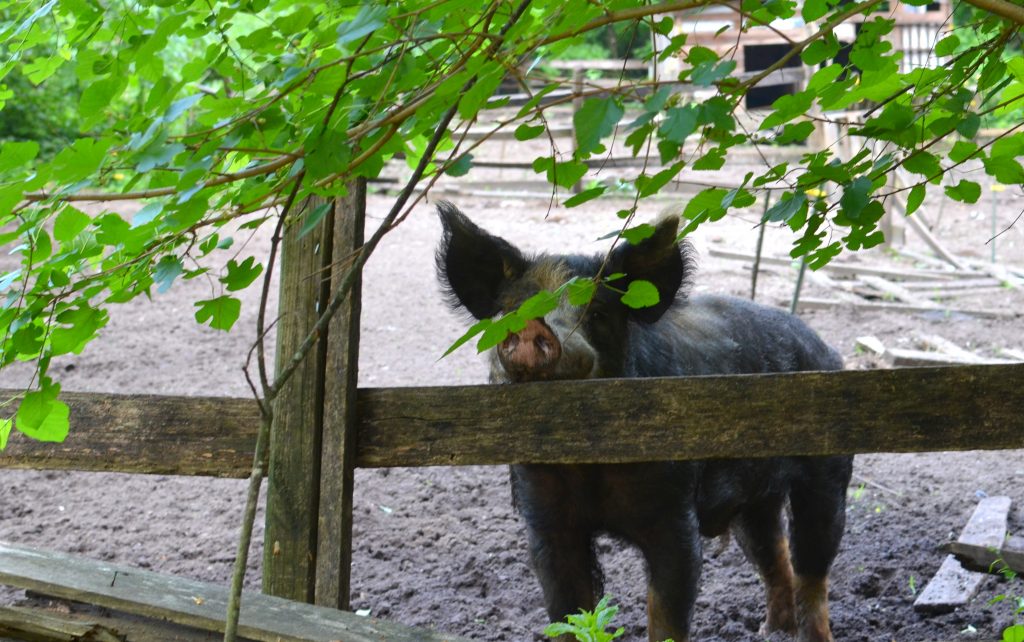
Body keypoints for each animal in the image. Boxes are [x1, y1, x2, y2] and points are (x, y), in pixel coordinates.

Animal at [435, 202, 853, 642]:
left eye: (597, 311)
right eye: (512, 311)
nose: (533, 329)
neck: (587, 467)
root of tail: (826, 348)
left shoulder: (674, 516)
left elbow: (667, 613)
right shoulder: (544, 519)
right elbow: (567, 613)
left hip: (828, 472)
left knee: (813, 567)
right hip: (756, 501)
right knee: (774, 554)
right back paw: (769, 631)